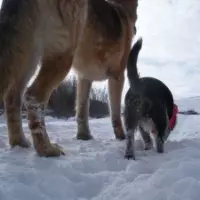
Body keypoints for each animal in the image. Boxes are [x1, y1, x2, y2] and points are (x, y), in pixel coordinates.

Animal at [0, 0, 138, 156]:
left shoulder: (84, 78)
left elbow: (82, 110)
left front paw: (84, 136)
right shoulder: (118, 75)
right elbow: (115, 112)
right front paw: (121, 136)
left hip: (27, 57)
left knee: (12, 99)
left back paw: (20, 143)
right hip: (63, 54)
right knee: (33, 96)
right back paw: (47, 149)